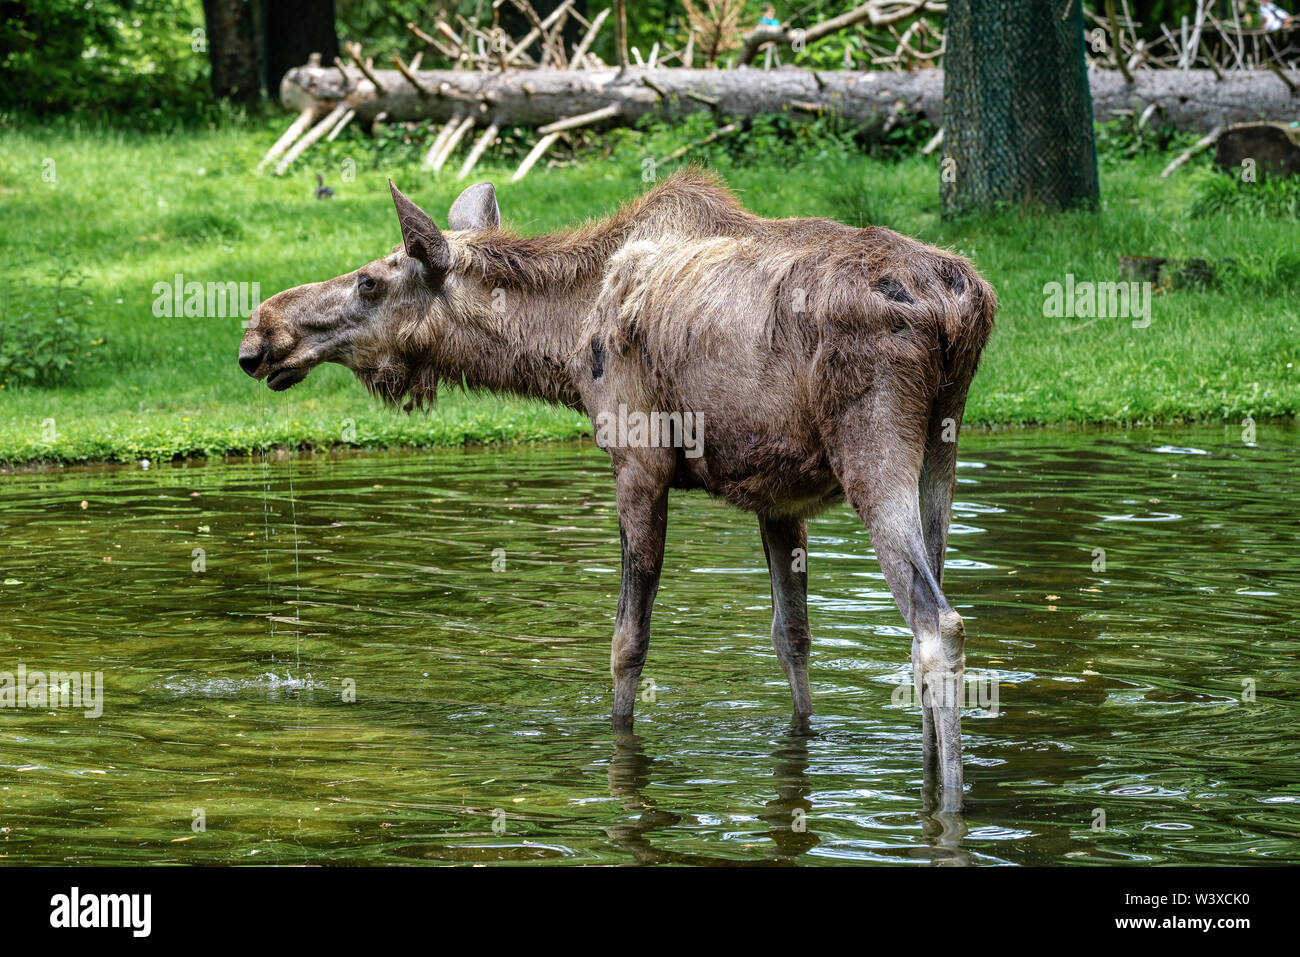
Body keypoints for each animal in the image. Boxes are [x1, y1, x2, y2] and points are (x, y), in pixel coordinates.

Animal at [237, 170, 996, 811]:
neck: (564, 341)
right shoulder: (777, 497)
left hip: (870, 442)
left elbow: (627, 641)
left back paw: (949, 809)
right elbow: (794, 637)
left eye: (368, 282)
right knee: (922, 622)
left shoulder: (637, 460)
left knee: (938, 625)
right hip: (945, 444)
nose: (260, 334)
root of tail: (962, 300)